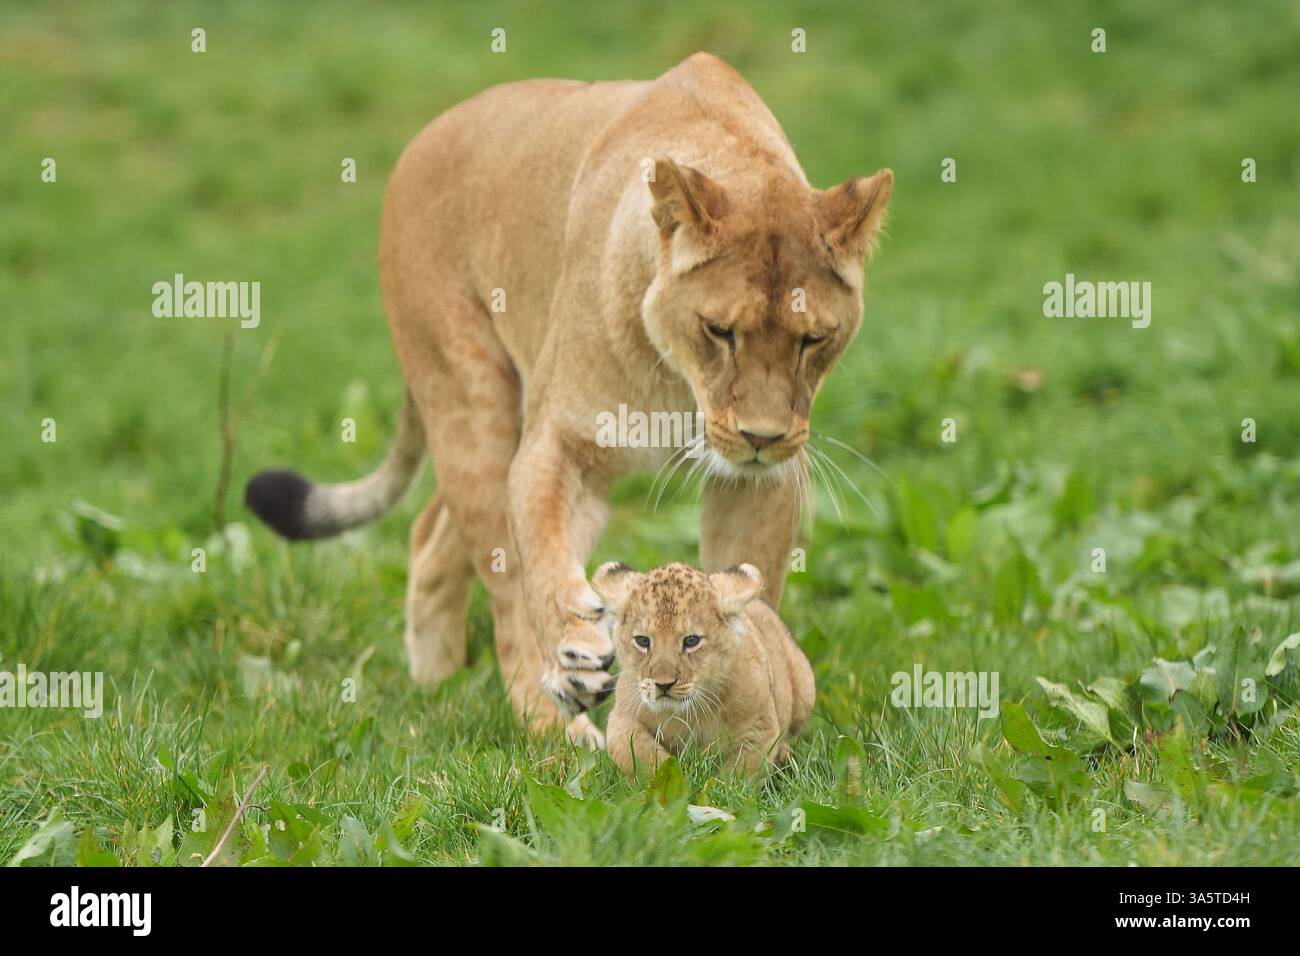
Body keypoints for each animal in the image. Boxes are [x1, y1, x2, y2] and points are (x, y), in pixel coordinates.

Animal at [244, 52, 891, 747]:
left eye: (813, 339)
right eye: (720, 331)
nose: (761, 436)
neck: (681, 383)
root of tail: (427, 135)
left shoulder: (758, 482)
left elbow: (748, 590)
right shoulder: (560, 445)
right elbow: (543, 567)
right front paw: (577, 655)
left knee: (431, 534)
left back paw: (435, 686)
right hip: (472, 402)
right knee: (501, 587)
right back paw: (553, 728)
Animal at [592, 561, 815, 777]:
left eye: (691, 640)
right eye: (642, 641)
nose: (663, 684)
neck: (685, 713)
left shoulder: (758, 728)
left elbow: (736, 776)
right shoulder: (621, 718)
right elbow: (638, 752)